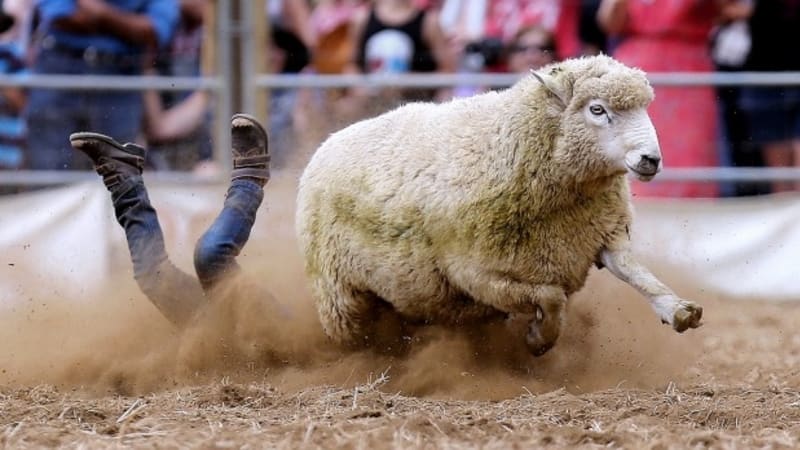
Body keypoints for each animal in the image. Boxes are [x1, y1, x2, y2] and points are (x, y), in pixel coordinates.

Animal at [295, 54, 703, 356]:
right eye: (597, 110)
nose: (651, 160)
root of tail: (327, 143)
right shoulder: (474, 274)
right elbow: (552, 297)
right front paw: (540, 338)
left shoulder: (599, 236)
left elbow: (638, 274)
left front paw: (677, 310)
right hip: (341, 296)